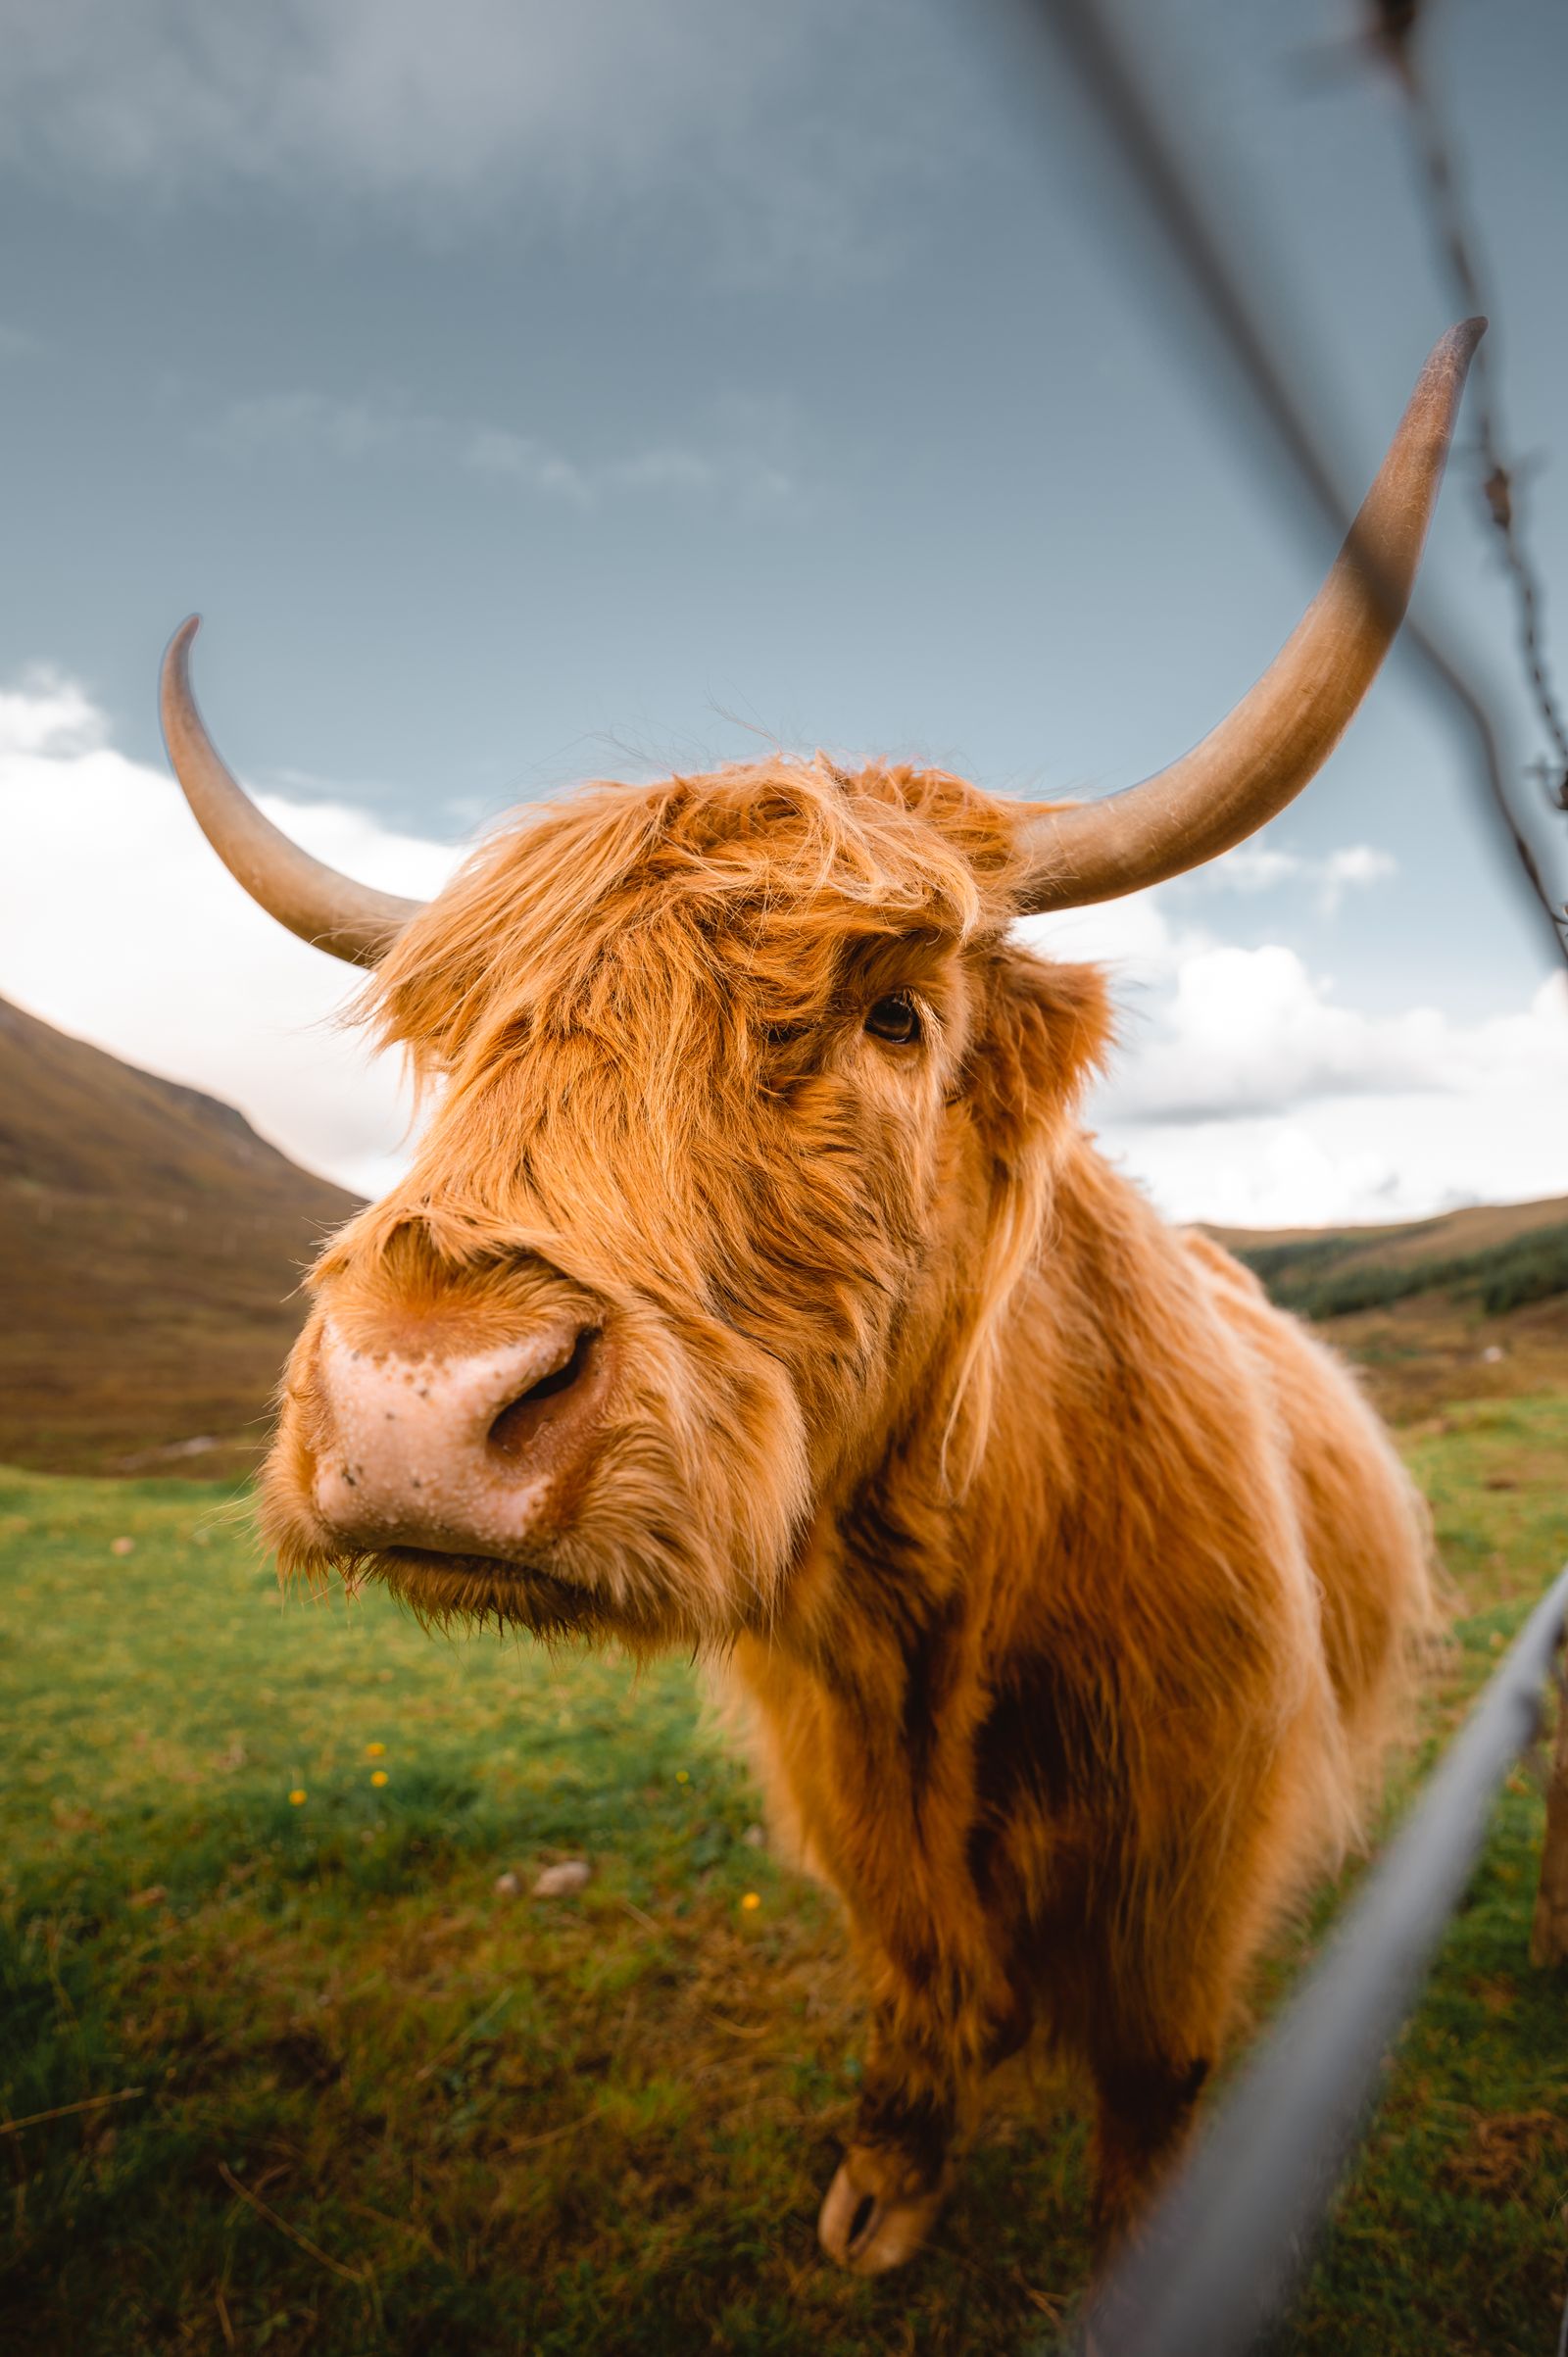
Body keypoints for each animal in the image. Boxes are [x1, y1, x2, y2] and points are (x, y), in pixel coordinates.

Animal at [159, 323, 1478, 2276]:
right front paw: (885, 2186)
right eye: (459, 1044)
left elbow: (1154, 2070)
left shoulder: (1187, 1858)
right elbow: (913, 1994)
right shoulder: (859, 1827)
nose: (420, 1404)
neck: (938, 1599)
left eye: (897, 1015)